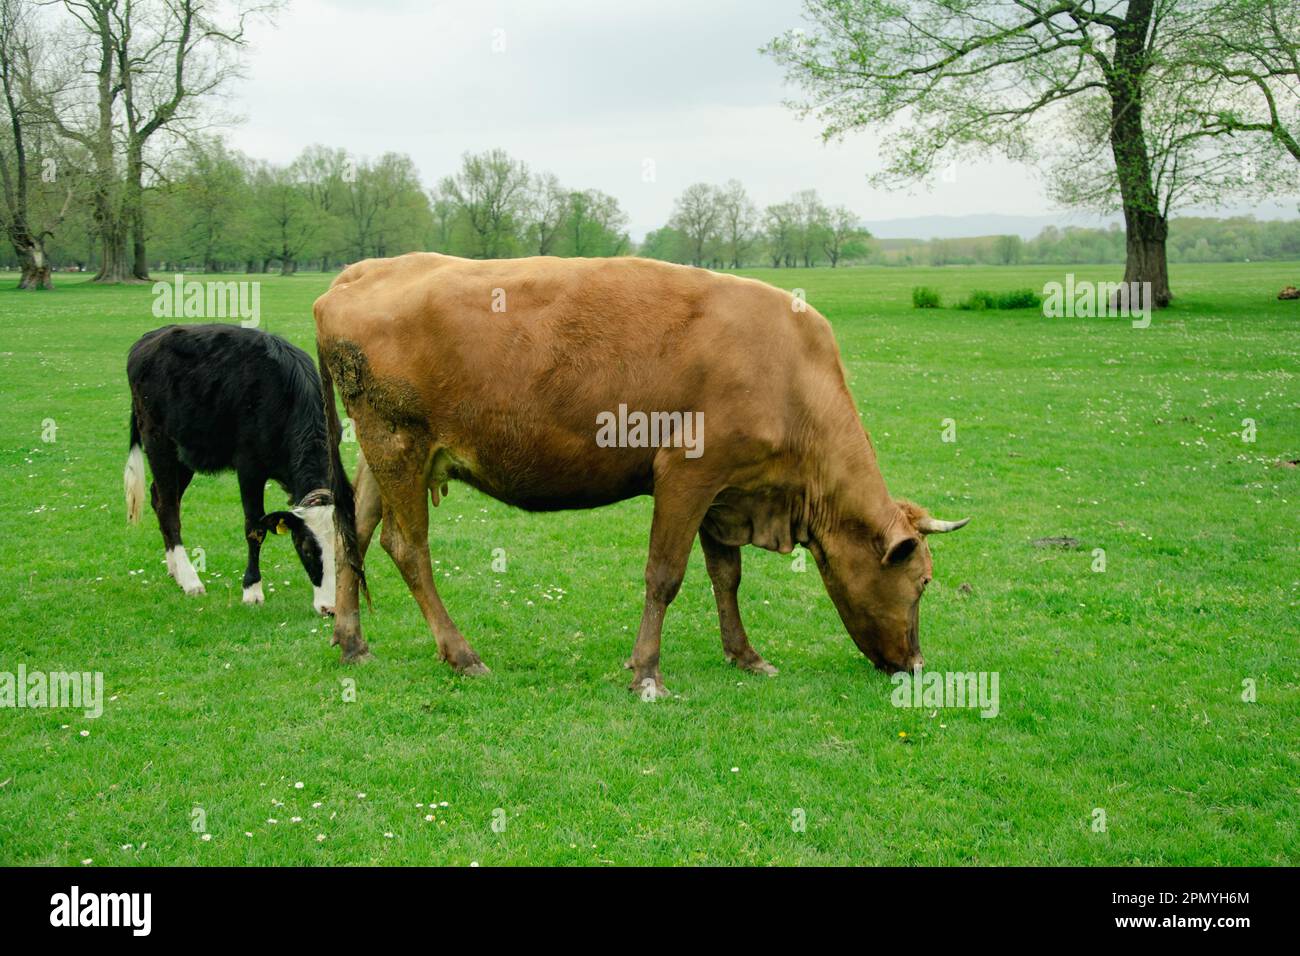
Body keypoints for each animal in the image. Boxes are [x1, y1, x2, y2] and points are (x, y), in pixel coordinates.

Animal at [124, 324, 351, 615]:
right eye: (307, 549)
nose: (331, 609)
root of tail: (149, 338)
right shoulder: (249, 467)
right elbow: (255, 528)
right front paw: (252, 590)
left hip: (184, 452)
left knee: (159, 498)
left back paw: (175, 570)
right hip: (157, 440)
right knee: (168, 508)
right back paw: (189, 579)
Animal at [313, 253, 968, 698]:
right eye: (921, 584)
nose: (916, 666)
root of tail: (357, 274)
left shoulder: (726, 493)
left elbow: (726, 578)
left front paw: (745, 655)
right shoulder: (686, 473)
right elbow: (665, 577)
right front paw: (647, 673)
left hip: (383, 452)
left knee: (355, 536)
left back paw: (352, 642)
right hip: (398, 442)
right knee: (406, 547)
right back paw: (461, 653)